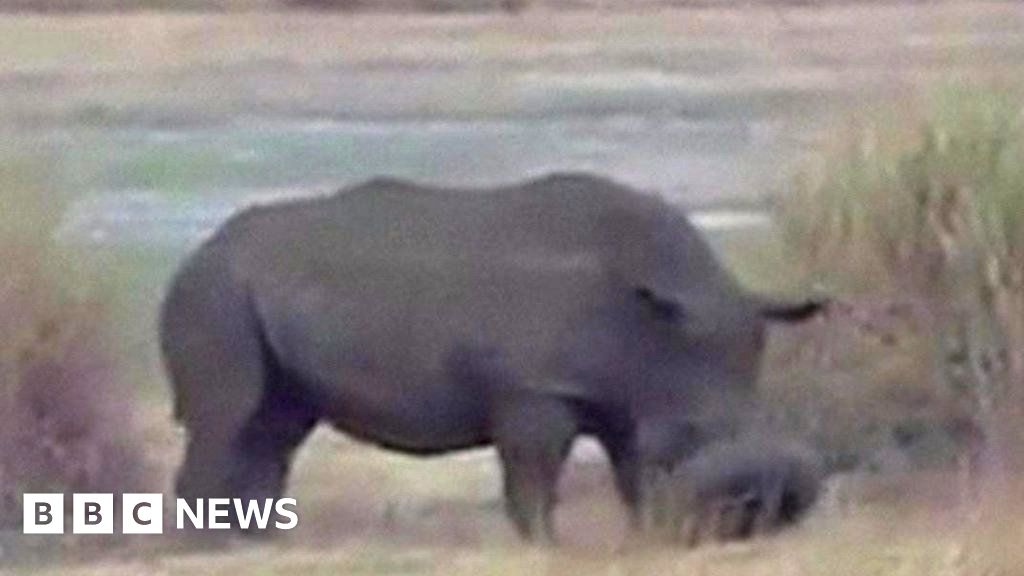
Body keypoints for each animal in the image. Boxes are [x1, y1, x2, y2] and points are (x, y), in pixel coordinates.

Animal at [159, 173, 824, 542]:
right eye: (693, 434)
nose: (769, 513)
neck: (655, 313)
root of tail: (195, 251)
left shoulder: (624, 391)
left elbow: (631, 471)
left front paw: (652, 535)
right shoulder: (534, 387)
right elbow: (533, 476)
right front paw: (544, 547)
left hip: (251, 291)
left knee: (275, 425)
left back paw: (261, 548)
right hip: (213, 289)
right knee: (229, 417)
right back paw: (205, 552)